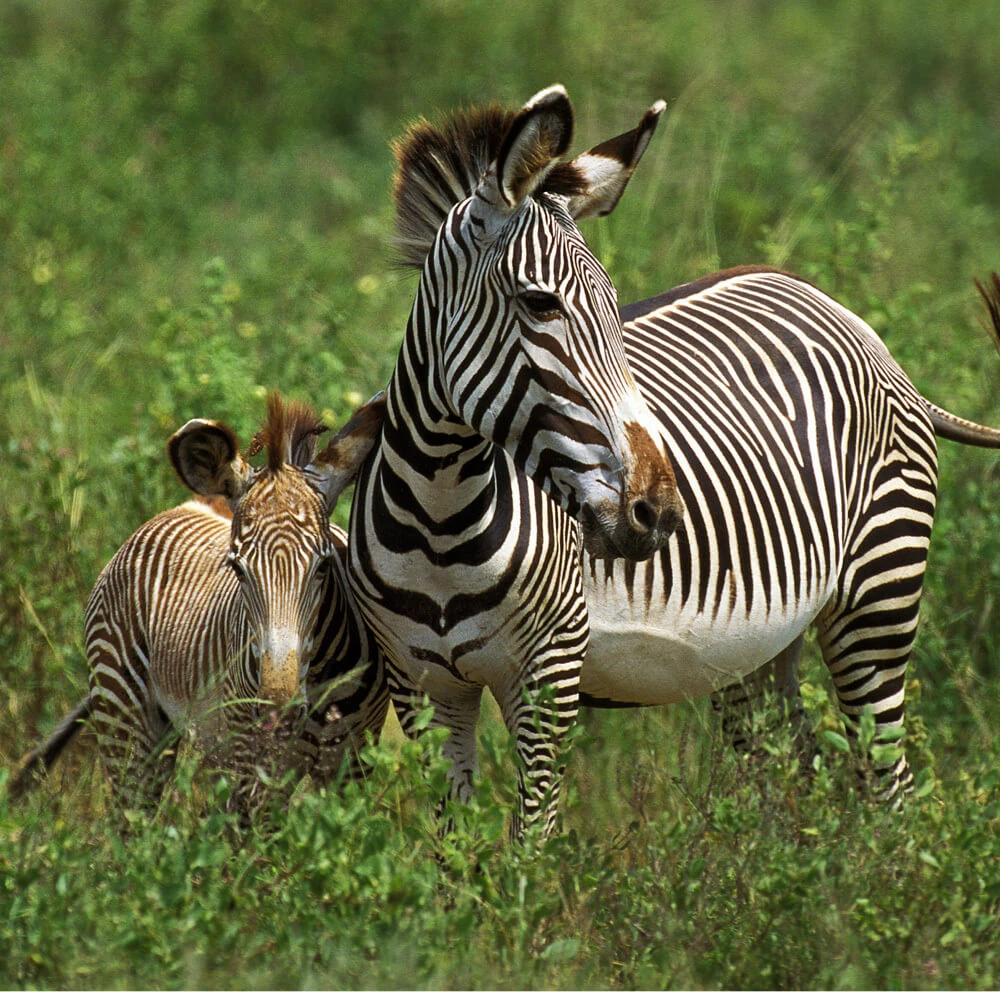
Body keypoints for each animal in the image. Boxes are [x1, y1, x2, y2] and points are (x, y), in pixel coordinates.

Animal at [8, 393, 389, 817]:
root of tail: (188, 504)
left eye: (323, 566)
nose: (277, 711)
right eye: (237, 568)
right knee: (135, 823)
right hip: (127, 721)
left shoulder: (352, 765)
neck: (320, 677)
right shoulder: (257, 768)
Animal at [348, 85, 683, 840]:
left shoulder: (549, 678)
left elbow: (533, 838)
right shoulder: (420, 686)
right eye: (539, 302)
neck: (439, 524)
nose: (657, 510)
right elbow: (449, 839)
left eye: (616, 307)